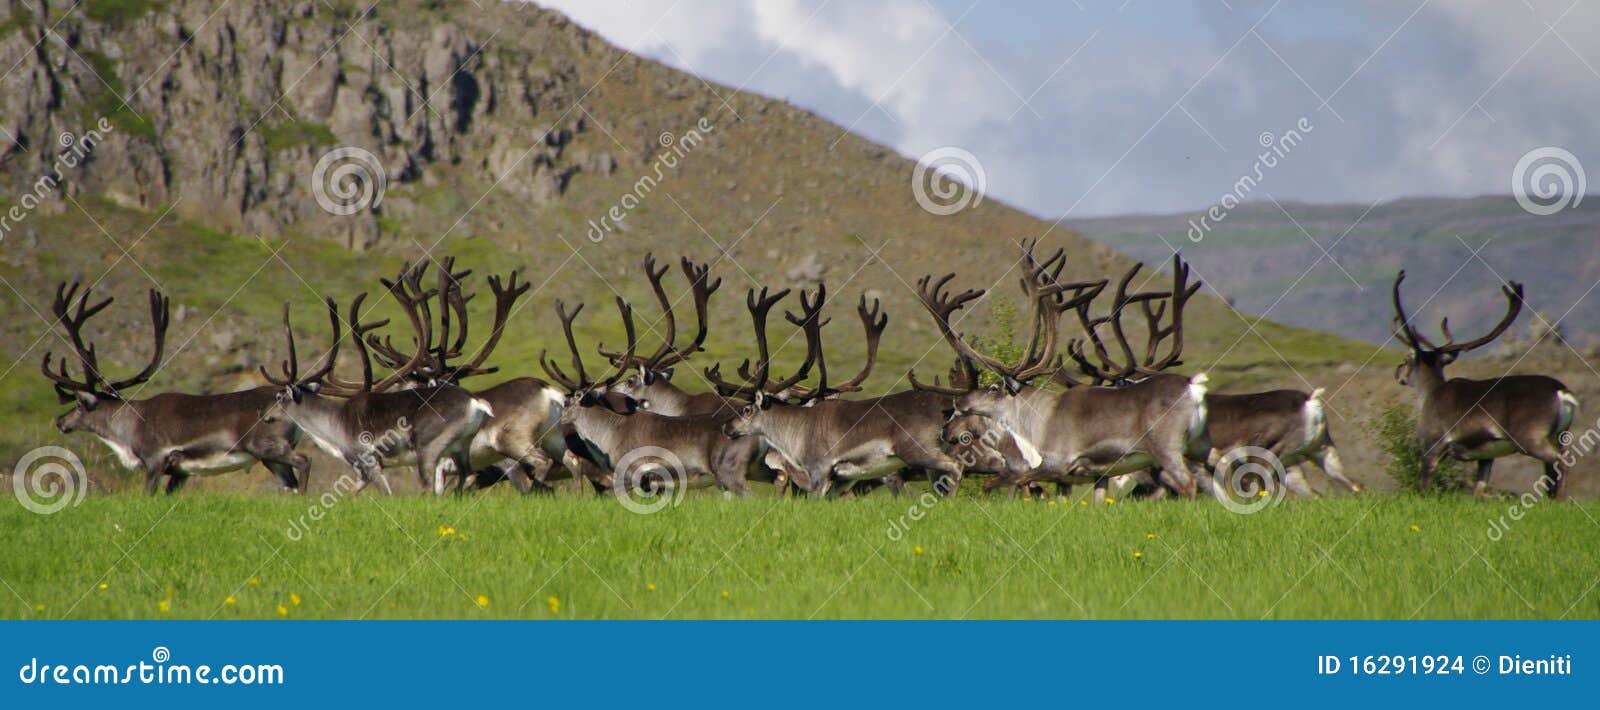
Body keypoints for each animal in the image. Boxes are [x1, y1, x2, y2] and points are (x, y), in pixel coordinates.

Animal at [41, 281, 308, 494]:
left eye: (78, 403)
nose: (60, 421)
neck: (129, 428)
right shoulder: (181, 473)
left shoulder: (155, 460)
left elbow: (147, 495)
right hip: (270, 459)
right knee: (291, 483)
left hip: (267, 446)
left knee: (304, 461)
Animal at [260, 269, 494, 496]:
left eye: (279, 397)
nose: (265, 416)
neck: (333, 425)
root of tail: (475, 402)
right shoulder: (361, 473)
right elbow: (349, 494)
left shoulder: (370, 461)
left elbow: (386, 494)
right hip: (461, 448)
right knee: (467, 477)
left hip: (429, 449)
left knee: (432, 486)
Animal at [914, 251, 1210, 501]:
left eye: (994, 388)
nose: (958, 403)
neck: (1038, 418)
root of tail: (1193, 387)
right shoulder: (1091, 475)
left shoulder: (1056, 464)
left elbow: (1011, 483)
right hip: (1200, 448)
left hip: (1167, 449)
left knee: (1187, 485)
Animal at [1391, 270, 1578, 498]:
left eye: (1406, 359)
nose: (1398, 372)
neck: (1429, 393)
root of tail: (1562, 392)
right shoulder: (1486, 456)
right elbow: (1479, 491)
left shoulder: (1431, 446)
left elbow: (1423, 488)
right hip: (1560, 435)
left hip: (1530, 437)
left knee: (1560, 462)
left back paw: (1559, 500)